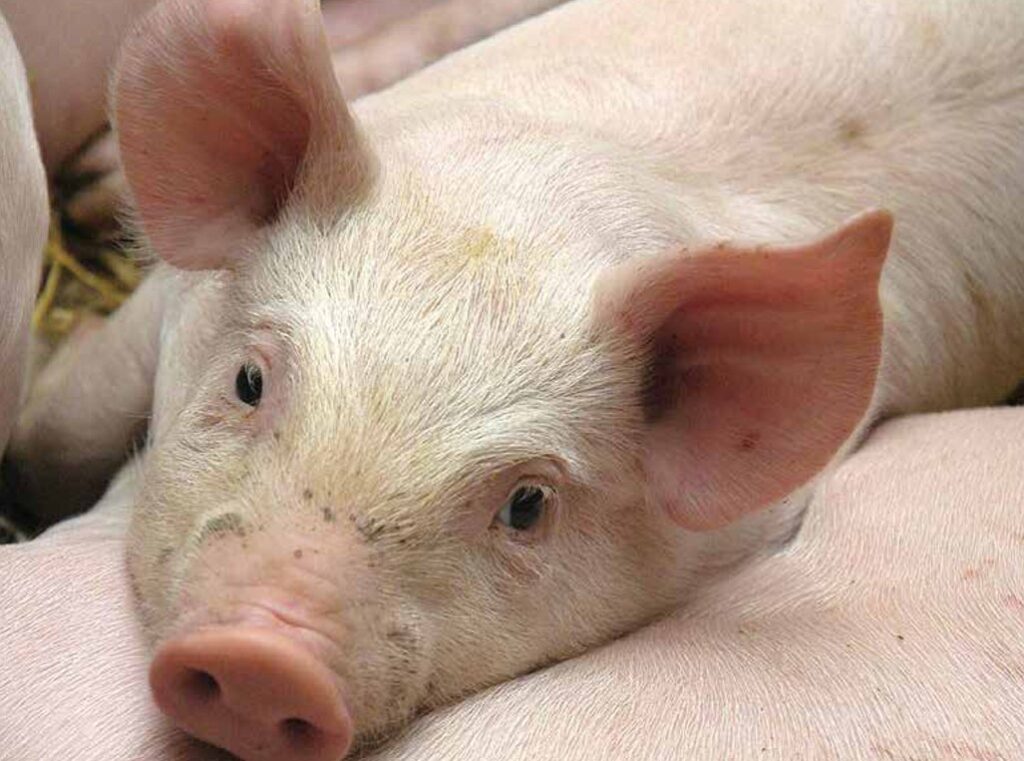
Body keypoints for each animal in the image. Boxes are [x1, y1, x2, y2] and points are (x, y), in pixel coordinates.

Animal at [6, 0, 1024, 759]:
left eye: (526, 504)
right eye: (251, 380)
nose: (263, 654)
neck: (526, 204)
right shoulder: (160, 311)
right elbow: (65, 421)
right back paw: (94, 180)